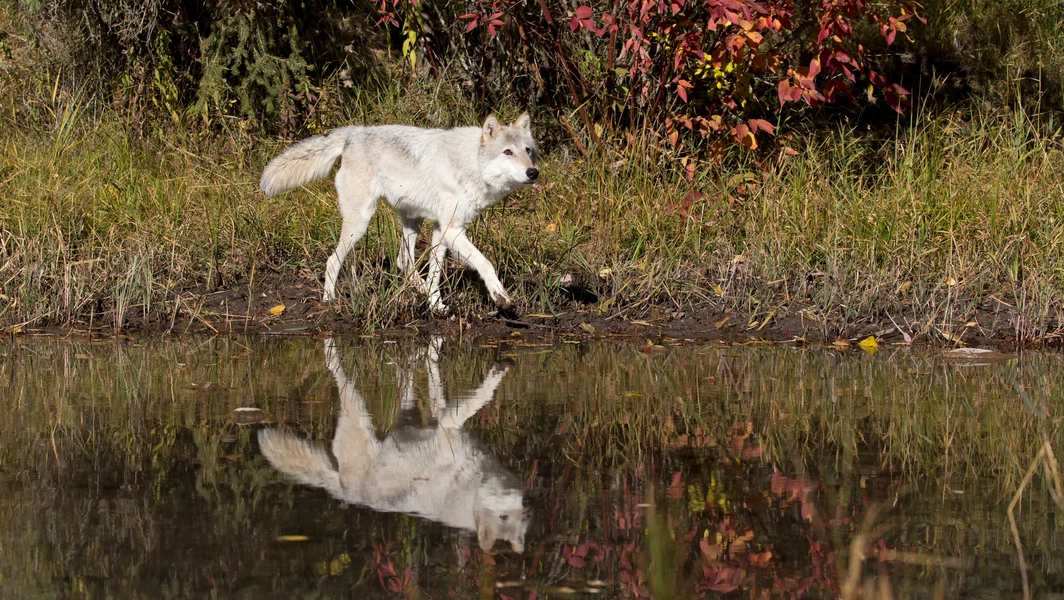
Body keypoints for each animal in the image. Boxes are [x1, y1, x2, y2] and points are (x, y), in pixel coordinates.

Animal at [257, 337, 530, 553]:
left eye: (521, 521)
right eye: (503, 517)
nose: (526, 506)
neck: (469, 489)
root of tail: (343, 488)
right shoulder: (448, 424)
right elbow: (482, 397)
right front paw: (498, 372)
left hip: (405, 418)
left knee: (405, 382)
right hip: (356, 407)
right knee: (336, 369)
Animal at [259, 114, 540, 314]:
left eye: (527, 151)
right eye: (507, 152)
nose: (533, 172)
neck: (469, 164)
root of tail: (353, 132)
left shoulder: (443, 229)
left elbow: (435, 273)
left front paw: (436, 305)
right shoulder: (452, 230)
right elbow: (485, 262)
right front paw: (501, 297)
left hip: (412, 222)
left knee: (403, 262)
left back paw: (418, 290)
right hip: (360, 225)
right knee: (333, 260)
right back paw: (330, 300)